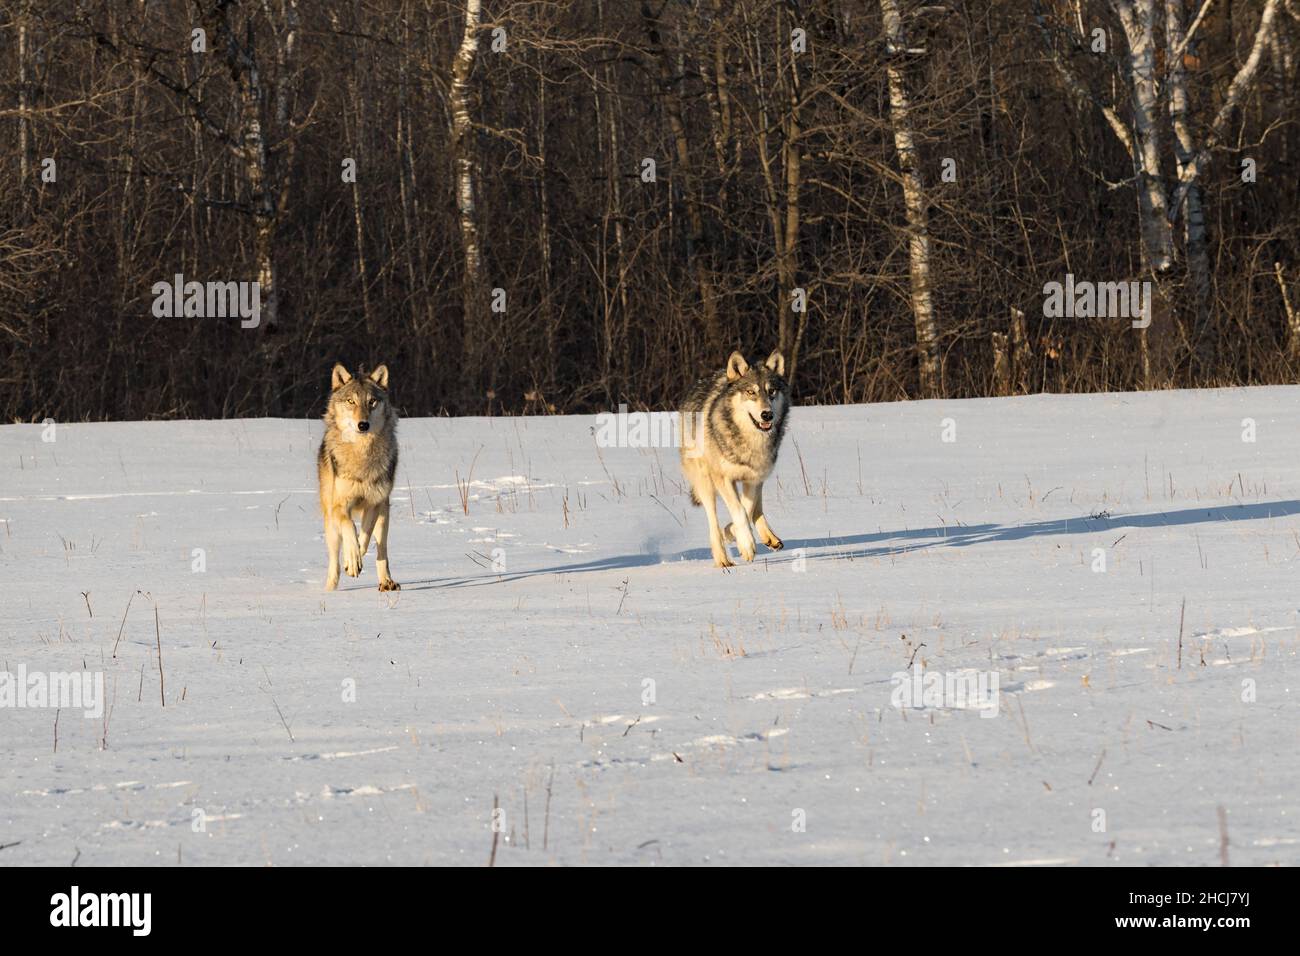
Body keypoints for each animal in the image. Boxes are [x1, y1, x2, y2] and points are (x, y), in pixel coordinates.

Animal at [317, 363, 400, 591]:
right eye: (350, 401)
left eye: (371, 402)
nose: (363, 425)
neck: (362, 455)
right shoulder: (340, 506)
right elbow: (350, 528)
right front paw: (352, 560)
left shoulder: (374, 503)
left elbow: (364, 535)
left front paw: (355, 558)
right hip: (330, 521)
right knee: (333, 558)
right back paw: (330, 588)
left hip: (384, 515)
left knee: (382, 550)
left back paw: (387, 582)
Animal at [680, 351, 790, 567]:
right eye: (750, 392)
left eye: (771, 391)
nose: (767, 414)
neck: (750, 442)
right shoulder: (723, 478)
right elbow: (739, 510)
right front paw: (745, 544)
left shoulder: (753, 479)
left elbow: (746, 509)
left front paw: (734, 535)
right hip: (705, 482)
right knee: (712, 521)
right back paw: (722, 559)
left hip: (760, 477)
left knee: (756, 507)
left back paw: (769, 537)